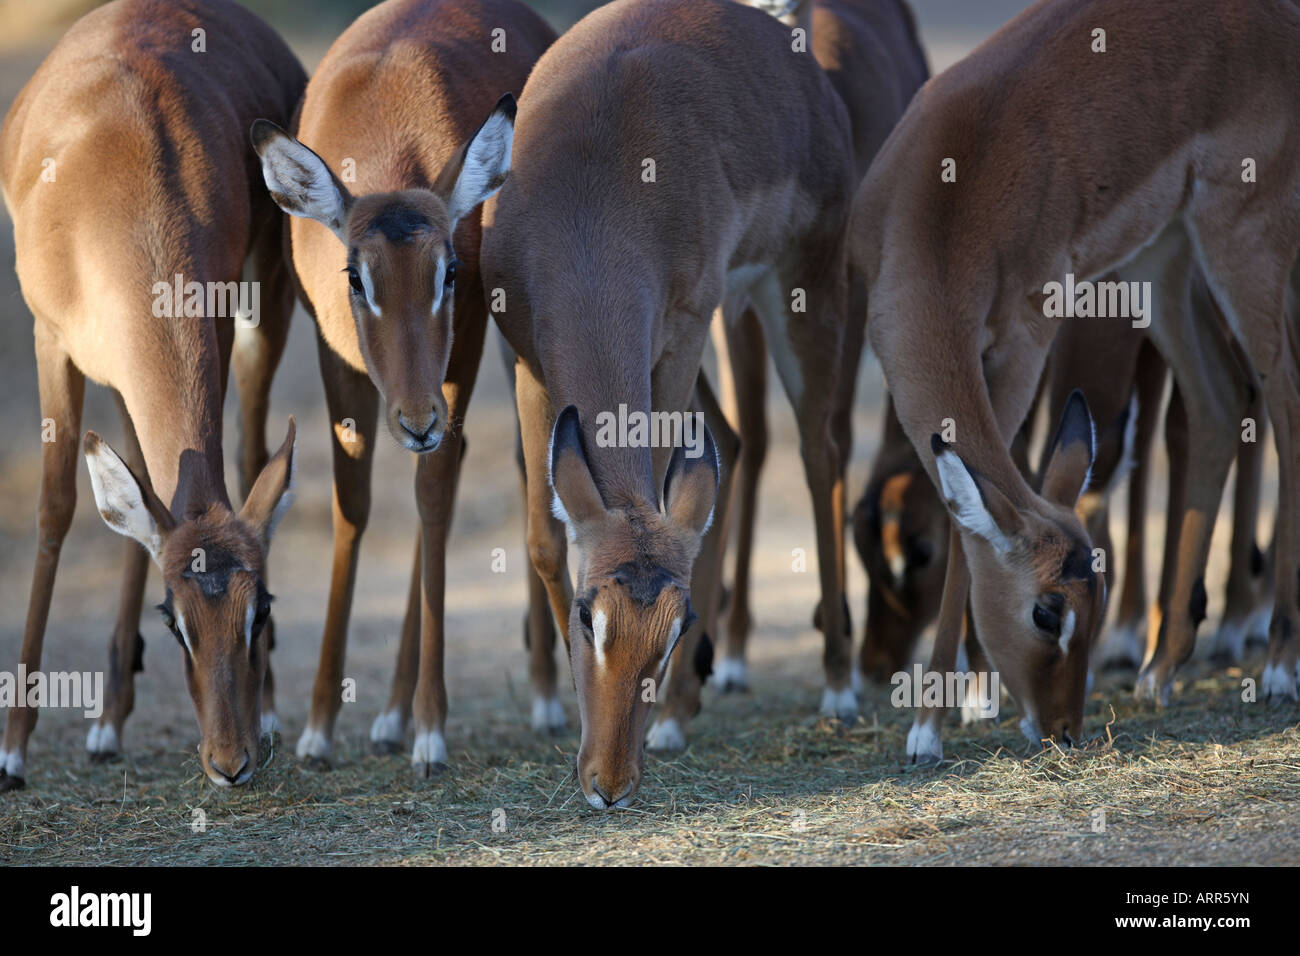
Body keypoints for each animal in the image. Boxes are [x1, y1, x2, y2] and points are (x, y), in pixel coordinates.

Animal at [0, 0, 305, 790]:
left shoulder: (222, 320)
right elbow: (56, 508)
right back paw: (105, 724)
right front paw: (12, 751)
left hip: (267, 301)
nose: (230, 763)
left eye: (260, 611)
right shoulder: (49, 340)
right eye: (175, 621)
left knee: (242, 452)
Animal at [250, 0, 555, 774]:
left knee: (503, 465)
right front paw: (319, 728)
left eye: (448, 272)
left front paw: (431, 730)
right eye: (356, 277)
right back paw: (387, 715)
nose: (417, 420)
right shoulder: (338, 361)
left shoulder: (463, 345)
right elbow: (352, 506)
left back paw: (541, 700)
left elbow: (436, 497)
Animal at [481, 0, 856, 808]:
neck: (594, 189)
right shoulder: (527, 360)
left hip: (799, 291)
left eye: (678, 626)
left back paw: (837, 688)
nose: (610, 785)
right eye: (588, 613)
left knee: (821, 453)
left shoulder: (679, 334)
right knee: (733, 444)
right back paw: (688, 712)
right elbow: (543, 537)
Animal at [852, 0, 1300, 762]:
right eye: (1049, 610)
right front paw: (962, 706)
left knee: (1284, 401)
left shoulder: (1026, 339)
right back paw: (1158, 670)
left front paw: (931, 727)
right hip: (1163, 255)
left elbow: (968, 525)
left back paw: (1277, 666)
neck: (942, 210)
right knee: (1217, 400)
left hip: (1242, 238)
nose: (1065, 730)